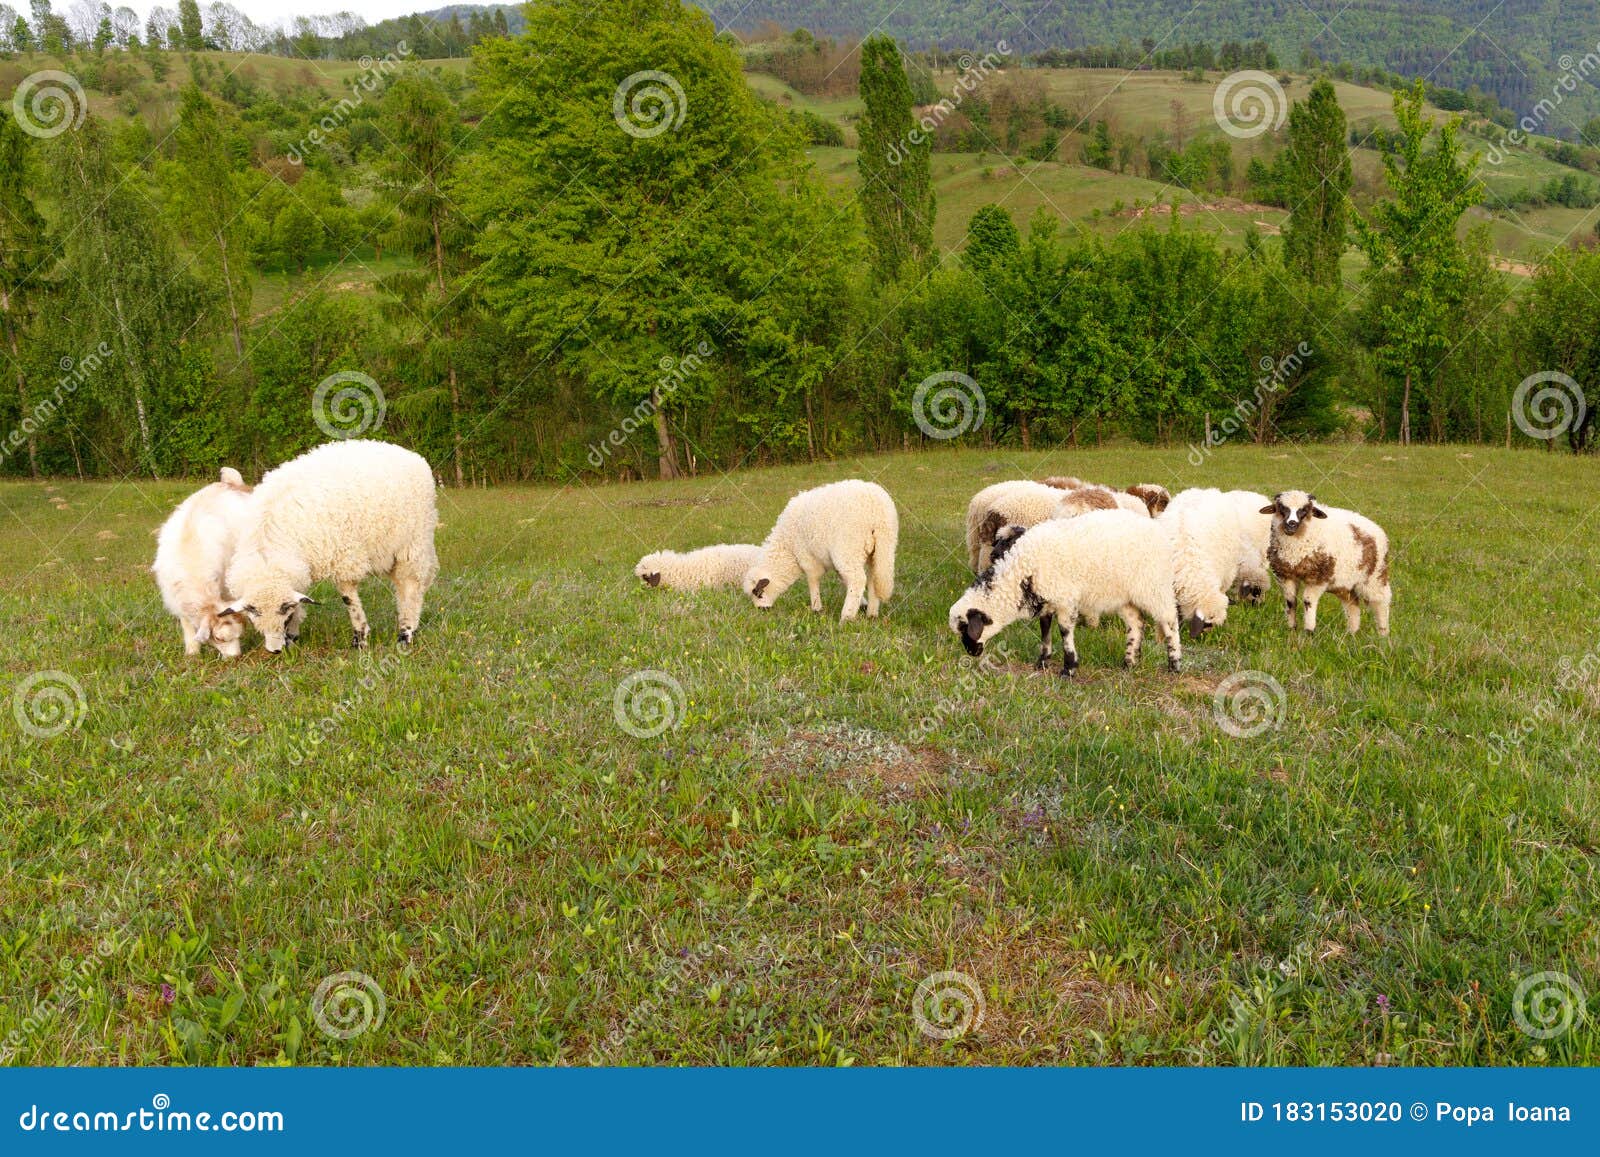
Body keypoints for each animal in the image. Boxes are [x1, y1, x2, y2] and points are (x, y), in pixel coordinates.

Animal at [152, 467, 253, 657]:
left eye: (240, 634)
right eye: (218, 638)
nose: (235, 657)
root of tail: (231, 483)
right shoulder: (176, 597)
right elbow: (185, 622)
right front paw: (192, 651)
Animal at [224, 440, 439, 653]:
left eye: (284, 618)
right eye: (254, 620)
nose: (275, 650)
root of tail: (411, 455)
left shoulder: (344, 559)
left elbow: (349, 600)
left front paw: (360, 640)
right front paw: (292, 639)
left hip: (413, 544)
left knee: (411, 587)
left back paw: (406, 634)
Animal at [743, 479, 897, 621]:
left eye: (758, 593)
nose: (762, 610)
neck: (787, 549)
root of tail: (875, 509)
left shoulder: (807, 557)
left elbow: (813, 579)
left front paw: (816, 608)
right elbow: (843, 579)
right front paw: (863, 604)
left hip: (848, 549)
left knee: (858, 580)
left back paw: (846, 617)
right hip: (883, 548)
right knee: (874, 579)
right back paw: (872, 614)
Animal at [948, 510, 1182, 677]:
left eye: (965, 628)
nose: (971, 653)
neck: (1021, 574)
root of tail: (1155, 528)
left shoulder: (1065, 600)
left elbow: (1065, 632)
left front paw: (1068, 669)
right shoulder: (1046, 601)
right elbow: (1045, 632)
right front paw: (1042, 663)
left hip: (1154, 587)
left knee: (1170, 621)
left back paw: (1174, 665)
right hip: (1124, 596)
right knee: (1136, 623)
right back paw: (1129, 663)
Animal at [1260, 490, 1392, 636]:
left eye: (1304, 509)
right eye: (1282, 508)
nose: (1291, 524)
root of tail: (1377, 528)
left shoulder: (1318, 578)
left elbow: (1308, 601)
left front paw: (1309, 631)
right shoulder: (1285, 575)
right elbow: (1290, 601)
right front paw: (1291, 629)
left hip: (1375, 576)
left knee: (1381, 602)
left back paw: (1383, 635)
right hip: (1345, 583)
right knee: (1352, 605)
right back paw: (1351, 634)